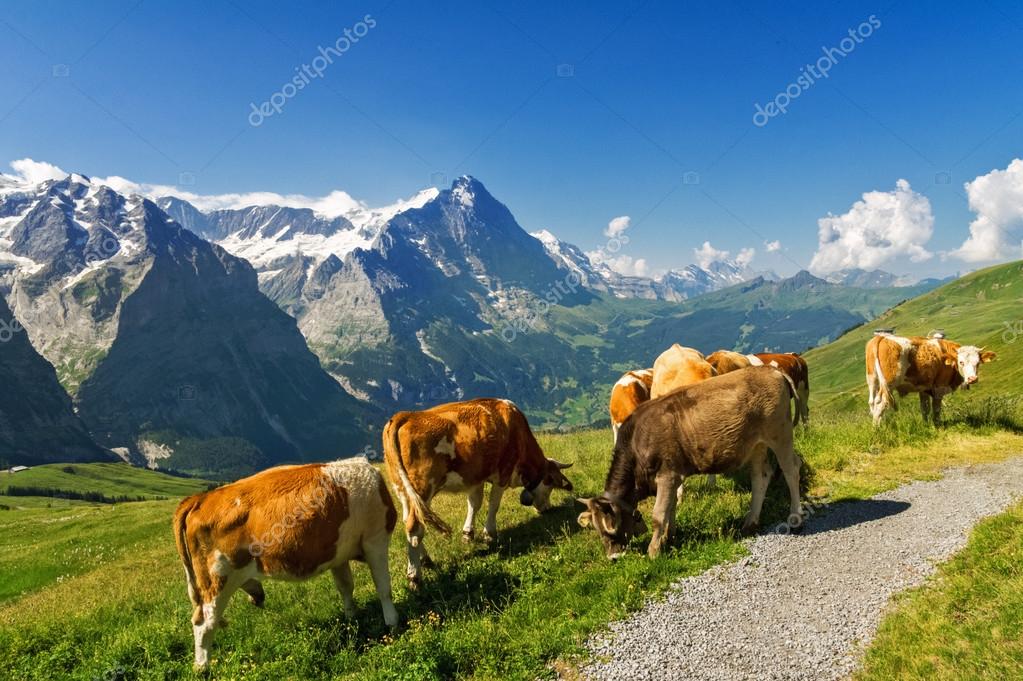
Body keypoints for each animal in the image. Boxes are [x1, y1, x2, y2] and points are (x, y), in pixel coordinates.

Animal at [173, 457, 398, 671]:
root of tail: (200, 498)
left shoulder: (339, 554)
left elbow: (346, 587)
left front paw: (352, 619)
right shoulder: (375, 539)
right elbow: (383, 587)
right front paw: (392, 623)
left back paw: (255, 592)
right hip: (217, 578)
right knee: (204, 621)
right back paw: (202, 666)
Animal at [383, 398, 574, 586]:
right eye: (550, 484)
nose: (547, 509)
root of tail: (406, 415)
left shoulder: (476, 477)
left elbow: (474, 503)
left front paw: (468, 534)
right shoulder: (503, 472)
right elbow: (493, 504)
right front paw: (489, 534)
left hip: (403, 490)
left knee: (409, 521)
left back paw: (426, 560)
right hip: (423, 486)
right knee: (415, 526)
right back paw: (414, 576)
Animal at [578, 366, 804, 559]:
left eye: (610, 528)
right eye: (596, 529)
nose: (613, 557)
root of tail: (773, 371)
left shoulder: (667, 475)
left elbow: (658, 514)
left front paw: (653, 551)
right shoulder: (673, 476)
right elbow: (670, 509)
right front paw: (669, 537)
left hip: (779, 433)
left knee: (791, 469)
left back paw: (795, 517)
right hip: (757, 445)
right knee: (760, 477)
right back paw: (750, 522)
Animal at [866, 332, 996, 425]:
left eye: (978, 363)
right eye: (961, 362)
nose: (972, 378)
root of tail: (882, 337)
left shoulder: (924, 388)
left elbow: (924, 408)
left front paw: (926, 425)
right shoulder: (939, 388)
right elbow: (936, 409)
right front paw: (937, 425)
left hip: (872, 380)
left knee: (872, 402)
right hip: (889, 383)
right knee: (880, 403)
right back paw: (877, 429)